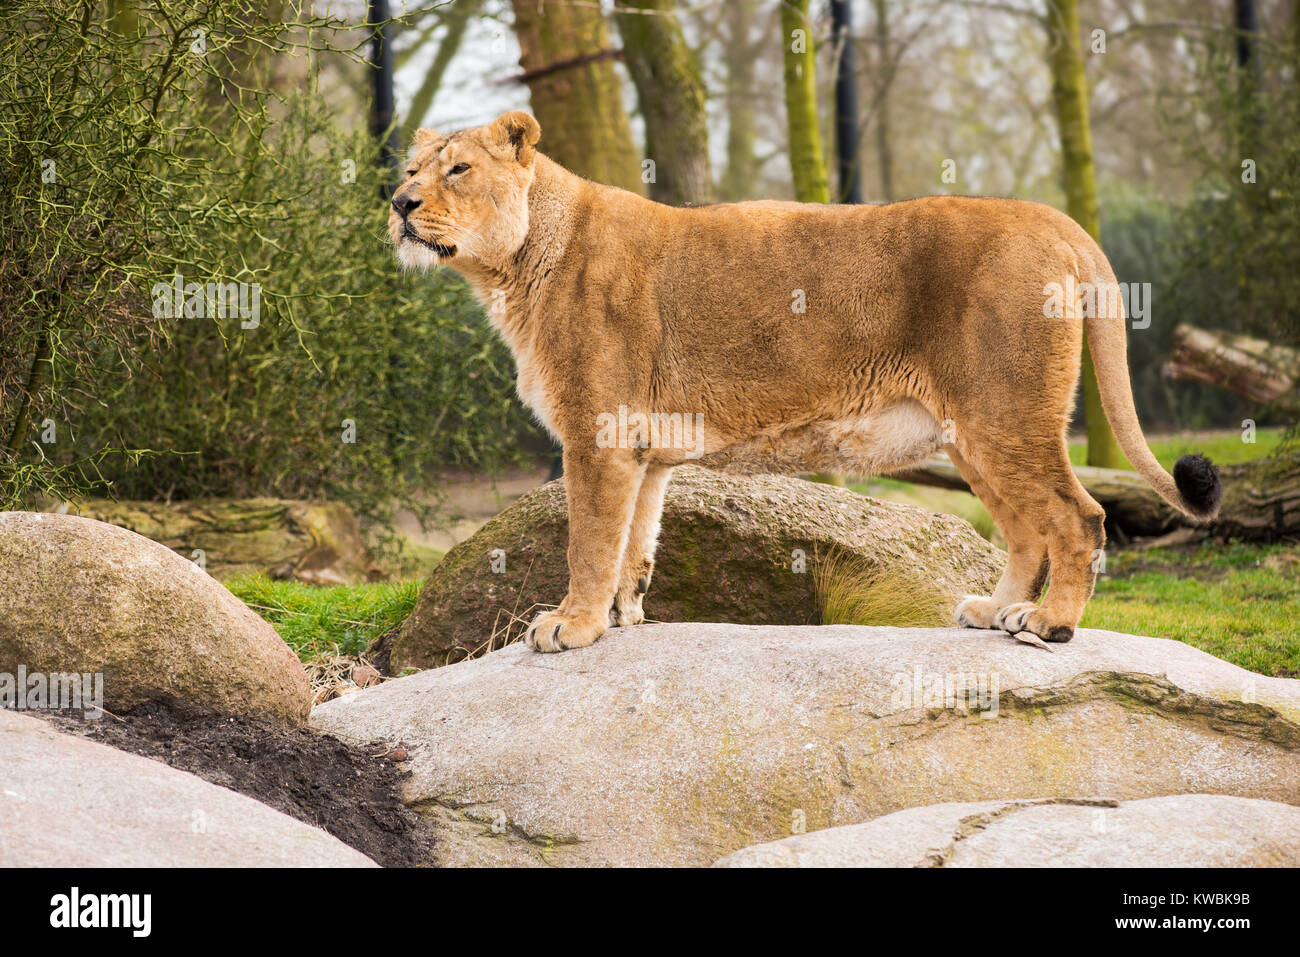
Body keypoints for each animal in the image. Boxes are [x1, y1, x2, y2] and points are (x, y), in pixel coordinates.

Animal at [389, 110, 1222, 652]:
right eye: (410, 169)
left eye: (458, 169)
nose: (397, 204)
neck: (512, 269)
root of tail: (1057, 221)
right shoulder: (643, 451)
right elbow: (634, 544)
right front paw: (621, 619)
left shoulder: (598, 433)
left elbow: (589, 541)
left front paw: (572, 625)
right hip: (973, 434)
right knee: (1025, 529)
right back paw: (995, 611)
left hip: (1007, 416)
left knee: (1079, 517)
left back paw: (1053, 624)